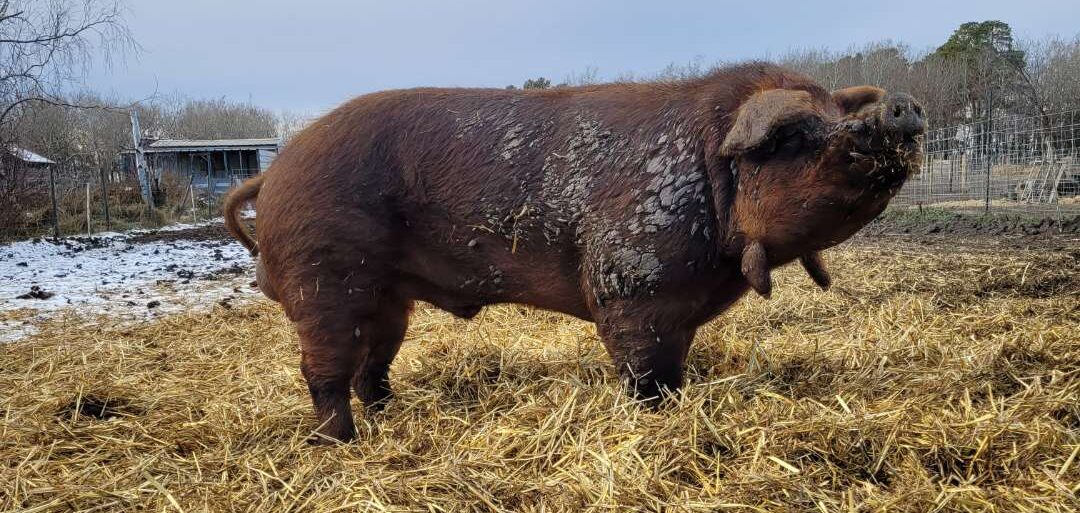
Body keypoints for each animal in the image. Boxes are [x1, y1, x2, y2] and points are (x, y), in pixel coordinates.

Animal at [224, 62, 925, 443]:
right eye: (798, 131)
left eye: (836, 109)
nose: (904, 106)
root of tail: (277, 170)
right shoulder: (629, 282)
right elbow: (643, 372)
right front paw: (653, 418)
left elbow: (675, 369)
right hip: (324, 276)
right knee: (322, 370)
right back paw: (342, 443)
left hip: (389, 296)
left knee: (374, 361)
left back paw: (389, 415)